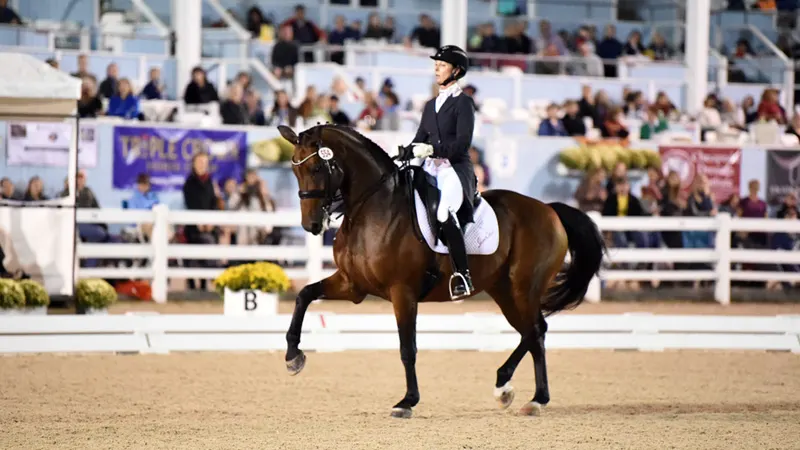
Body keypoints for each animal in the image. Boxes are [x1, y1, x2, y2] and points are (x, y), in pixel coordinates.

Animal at [278, 124, 604, 418]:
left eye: (317, 168)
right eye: (295, 170)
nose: (311, 225)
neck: (373, 209)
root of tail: (549, 210)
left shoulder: (402, 292)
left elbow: (407, 347)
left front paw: (407, 401)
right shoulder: (352, 285)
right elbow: (304, 295)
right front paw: (293, 357)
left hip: (523, 287)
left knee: (536, 330)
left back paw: (520, 392)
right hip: (504, 291)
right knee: (533, 332)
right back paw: (522, 394)